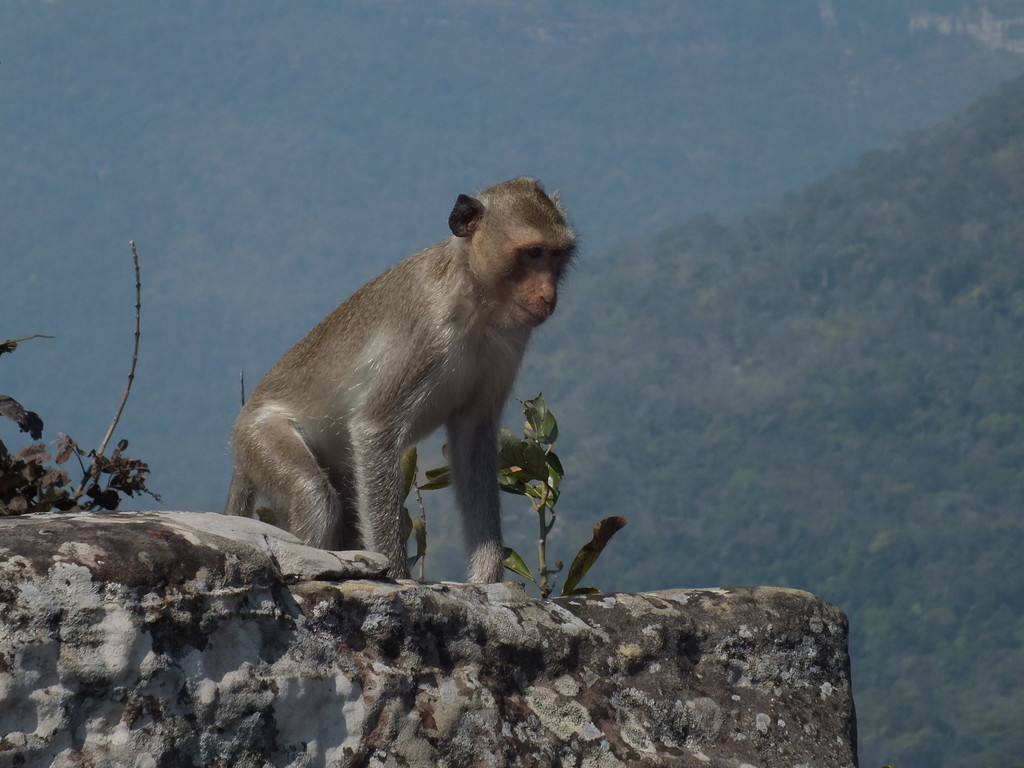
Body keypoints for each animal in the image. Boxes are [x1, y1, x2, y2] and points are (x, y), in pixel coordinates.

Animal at [226, 177, 576, 582]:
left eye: (557, 255)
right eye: (532, 253)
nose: (548, 296)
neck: (474, 296)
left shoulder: (508, 346)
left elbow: (473, 441)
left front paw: (487, 578)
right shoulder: (425, 331)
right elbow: (374, 428)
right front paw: (394, 572)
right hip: (258, 437)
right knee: (313, 496)